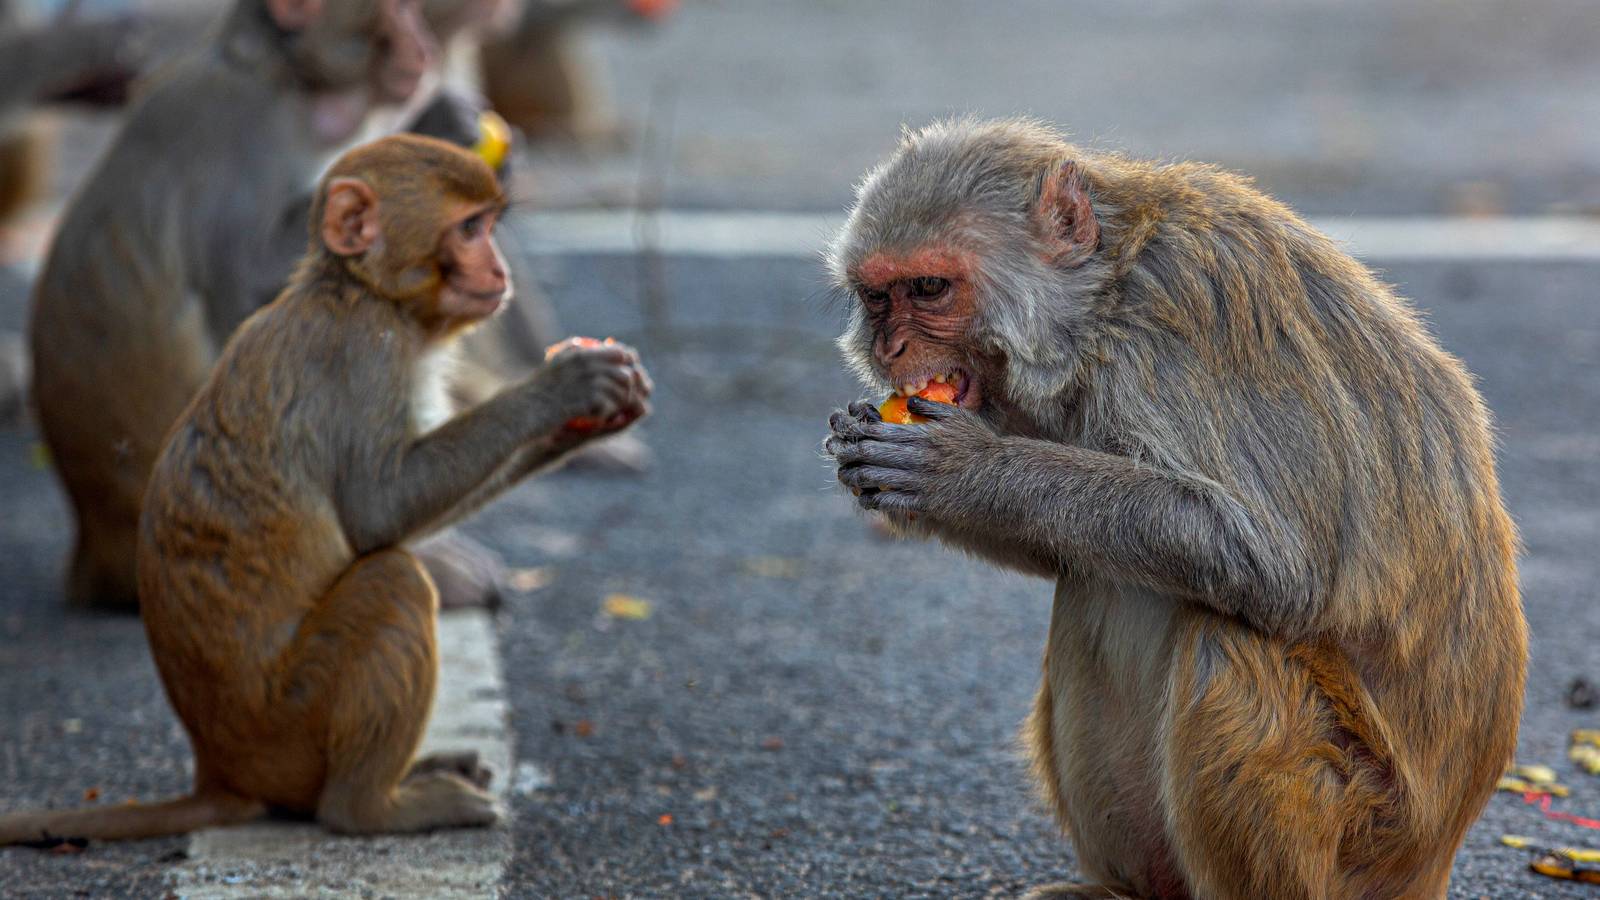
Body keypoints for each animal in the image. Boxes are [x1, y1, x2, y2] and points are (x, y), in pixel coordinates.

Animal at [0, 133, 651, 846]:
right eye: (469, 229)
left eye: (489, 226)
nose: (499, 270)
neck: (361, 290)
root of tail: (218, 769)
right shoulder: (365, 353)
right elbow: (378, 511)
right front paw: (561, 390)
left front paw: (587, 424)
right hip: (292, 723)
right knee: (392, 580)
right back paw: (373, 807)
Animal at [824, 118, 1527, 899]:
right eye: (876, 298)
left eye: (929, 288)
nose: (890, 347)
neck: (1103, 302)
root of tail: (1430, 859)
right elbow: (1064, 551)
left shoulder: (1175, 326)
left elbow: (1275, 562)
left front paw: (966, 472)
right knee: (1097, 581)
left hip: (1364, 831)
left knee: (1228, 638)